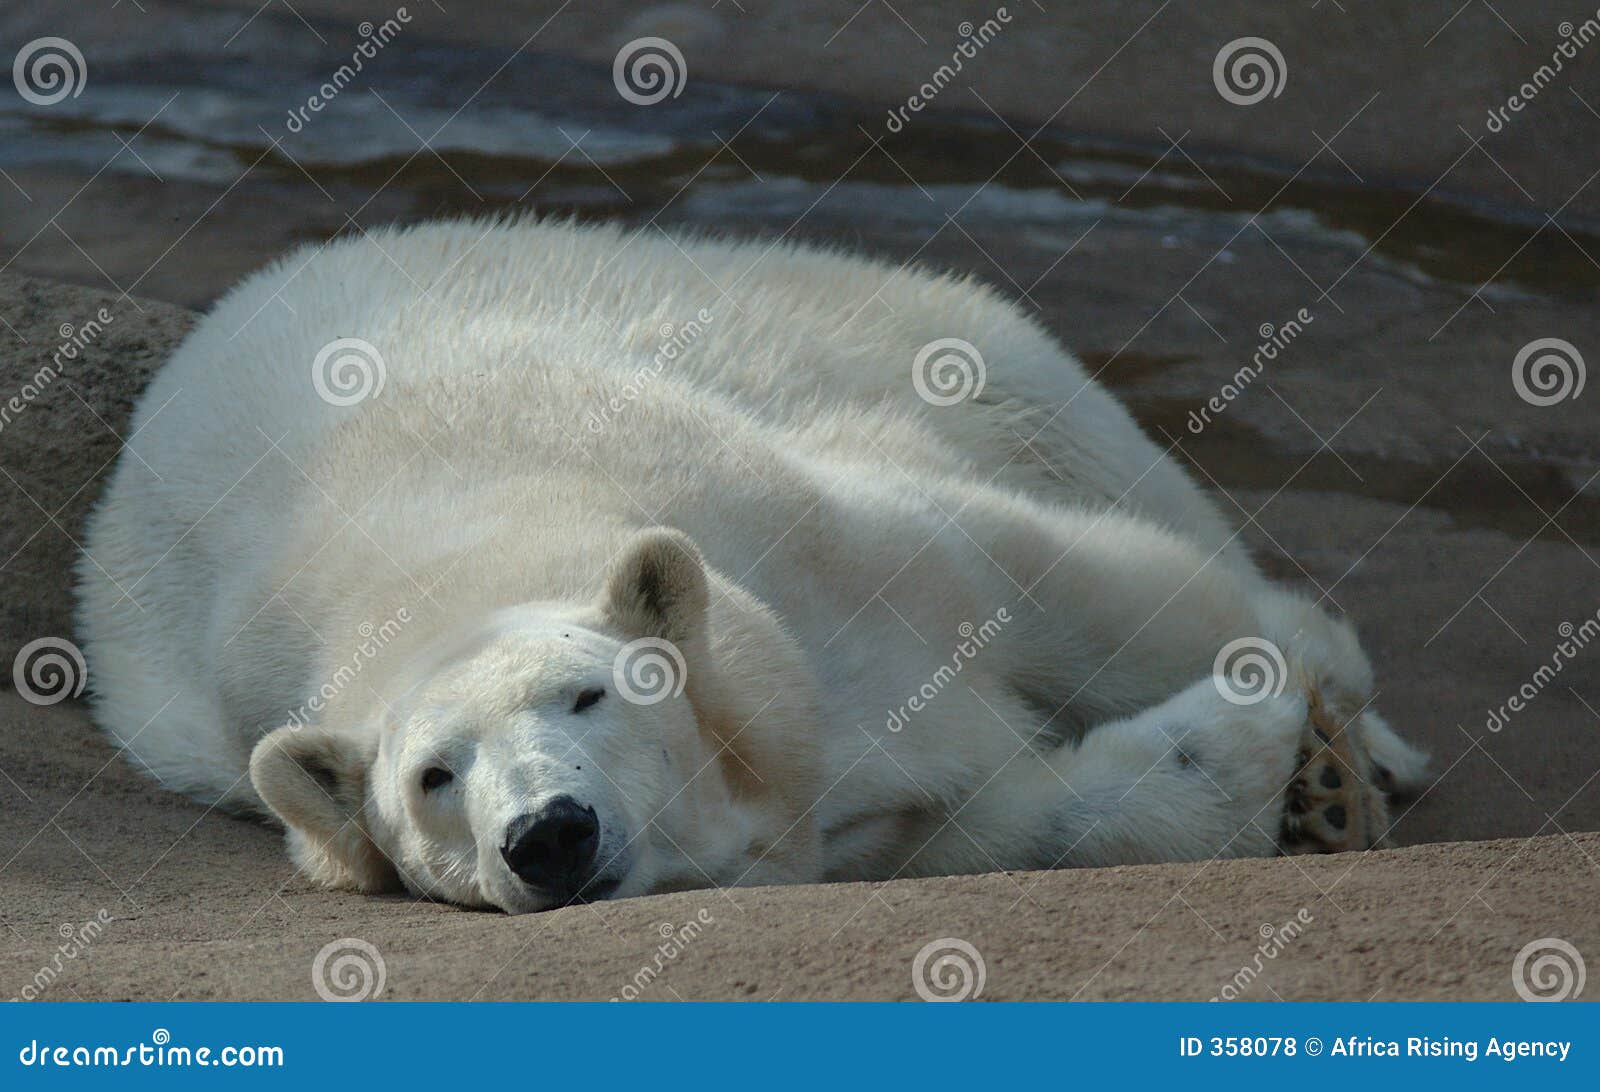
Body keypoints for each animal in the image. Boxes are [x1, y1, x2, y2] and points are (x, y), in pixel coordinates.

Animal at [75, 216, 1428, 913]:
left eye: (590, 693)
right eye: (432, 779)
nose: (549, 834)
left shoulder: (796, 521)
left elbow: (1053, 584)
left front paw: (1320, 735)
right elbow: (1002, 821)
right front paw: (1294, 780)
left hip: (864, 320)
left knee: (1086, 449)